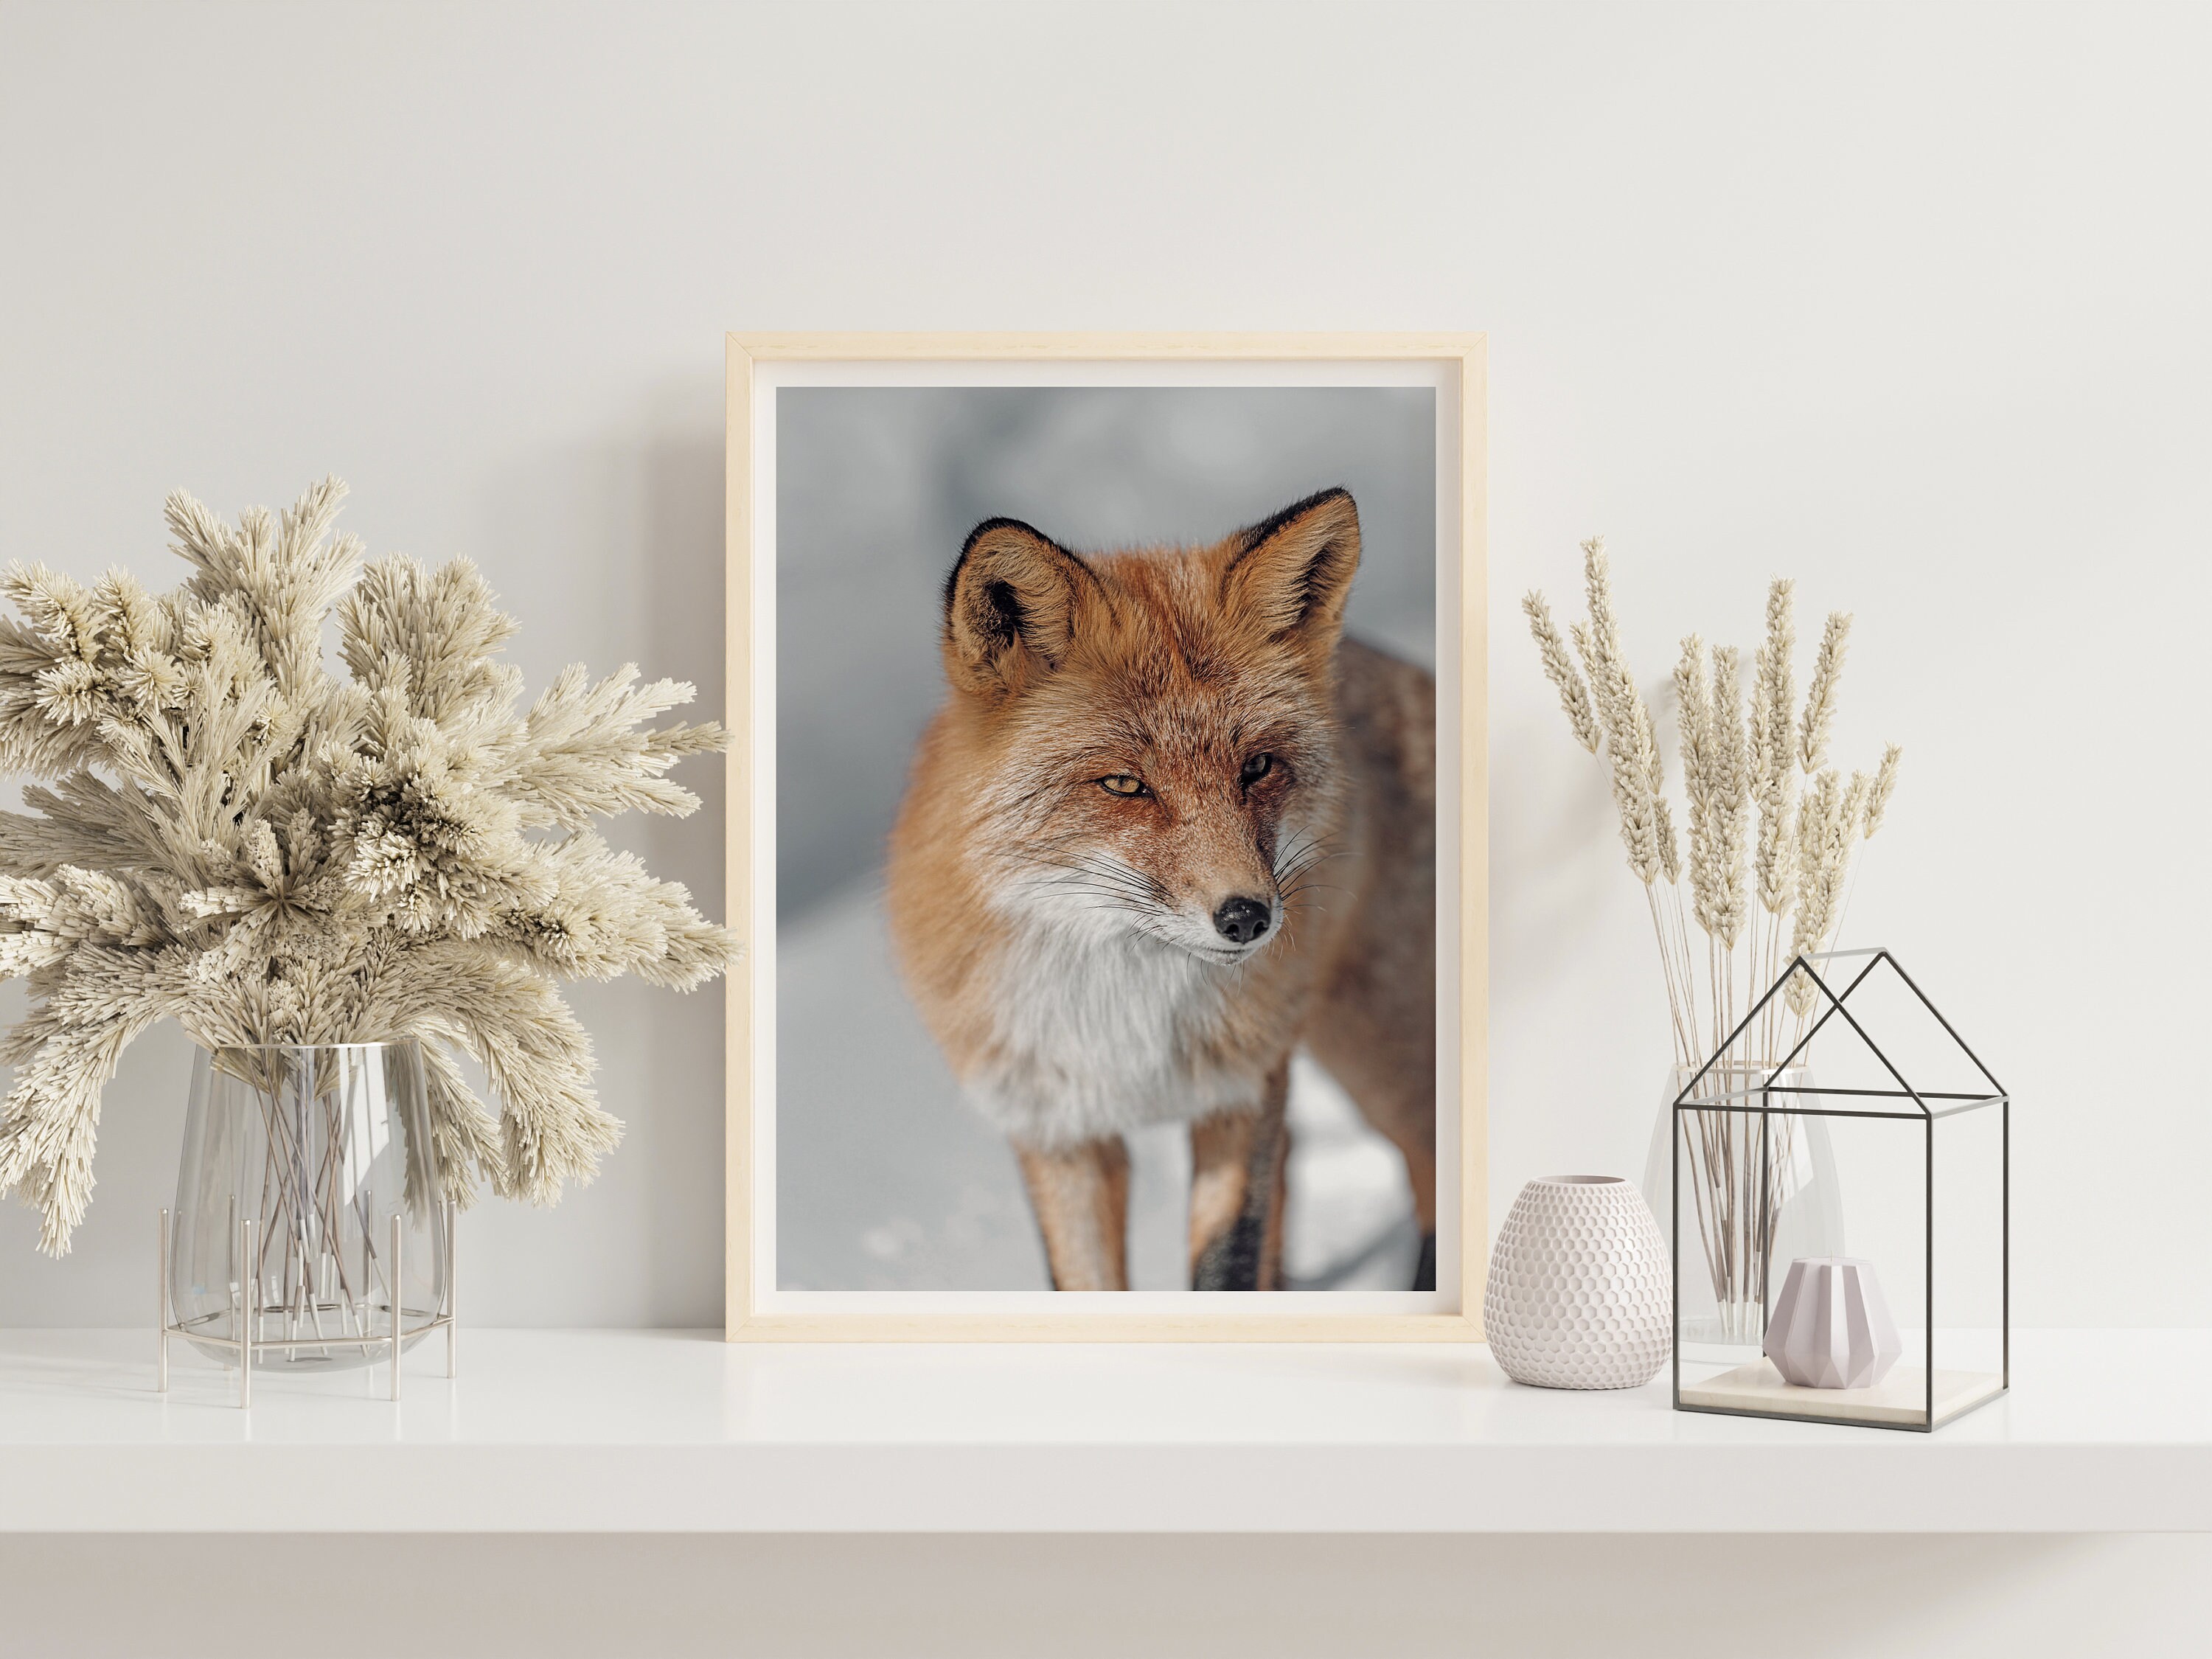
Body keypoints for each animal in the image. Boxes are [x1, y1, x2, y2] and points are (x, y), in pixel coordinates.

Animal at [885, 487, 1436, 1292]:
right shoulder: (1054, 1125)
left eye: (1257, 767)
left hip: (1377, 1054)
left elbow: (1225, 1267)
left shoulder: (1240, 1091)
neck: (1127, 1018)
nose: (1247, 918)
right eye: (1124, 785)